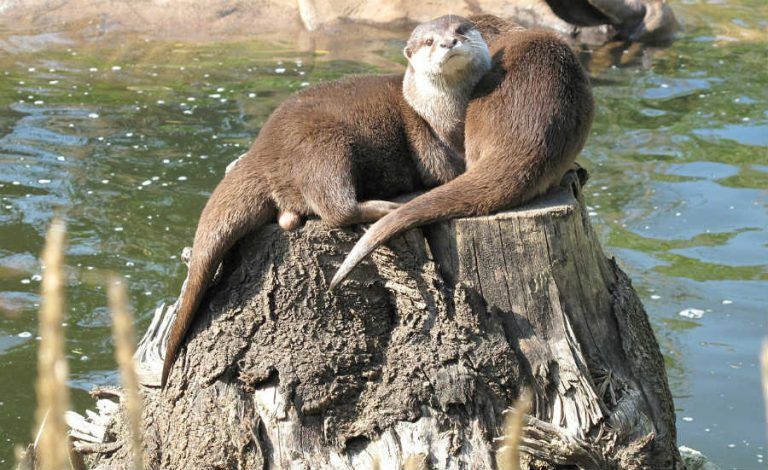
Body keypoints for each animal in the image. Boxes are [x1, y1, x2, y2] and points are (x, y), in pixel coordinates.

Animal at [161, 15, 492, 386]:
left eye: (460, 30)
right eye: (430, 41)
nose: (449, 42)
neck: (448, 114)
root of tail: (262, 150)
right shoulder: (428, 138)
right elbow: (445, 172)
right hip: (325, 146)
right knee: (335, 208)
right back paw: (385, 207)